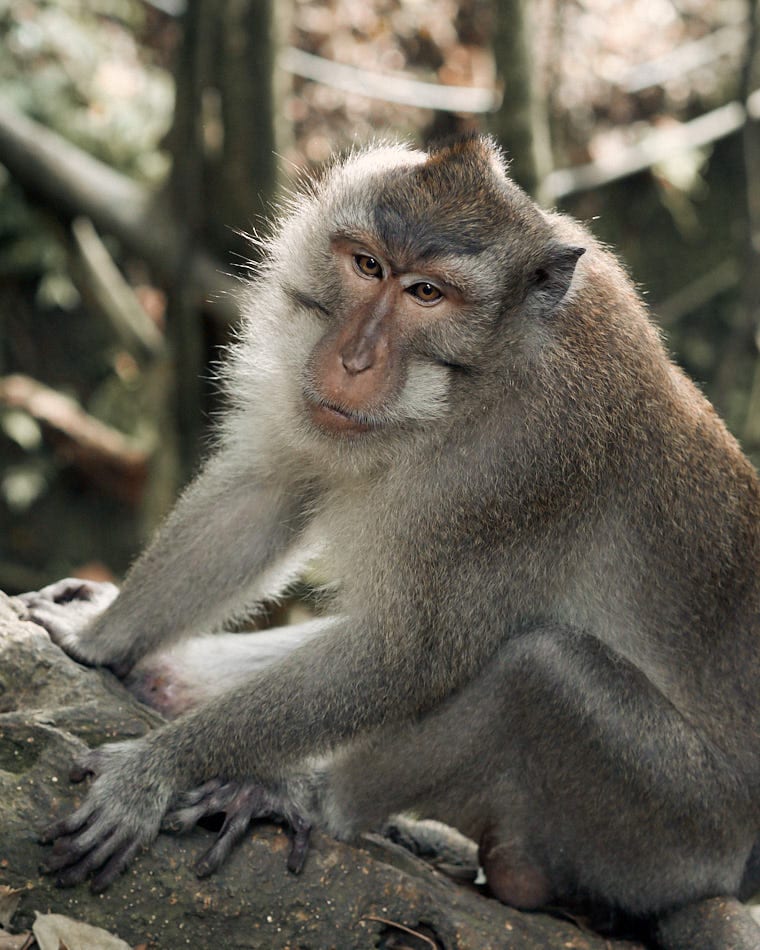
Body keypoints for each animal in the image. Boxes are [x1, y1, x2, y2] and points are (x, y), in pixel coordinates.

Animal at [20, 136, 760, 927]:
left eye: (427, 294)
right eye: (368, 265)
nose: (352, 360)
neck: (467, 390)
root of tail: (736, 872)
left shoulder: (522, 462)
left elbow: (407, 654)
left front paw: (155, 770)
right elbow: (265, 493)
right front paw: (101, 635)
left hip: (674, 830)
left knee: (539, 672)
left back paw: (307, 796)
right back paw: (176, 680)